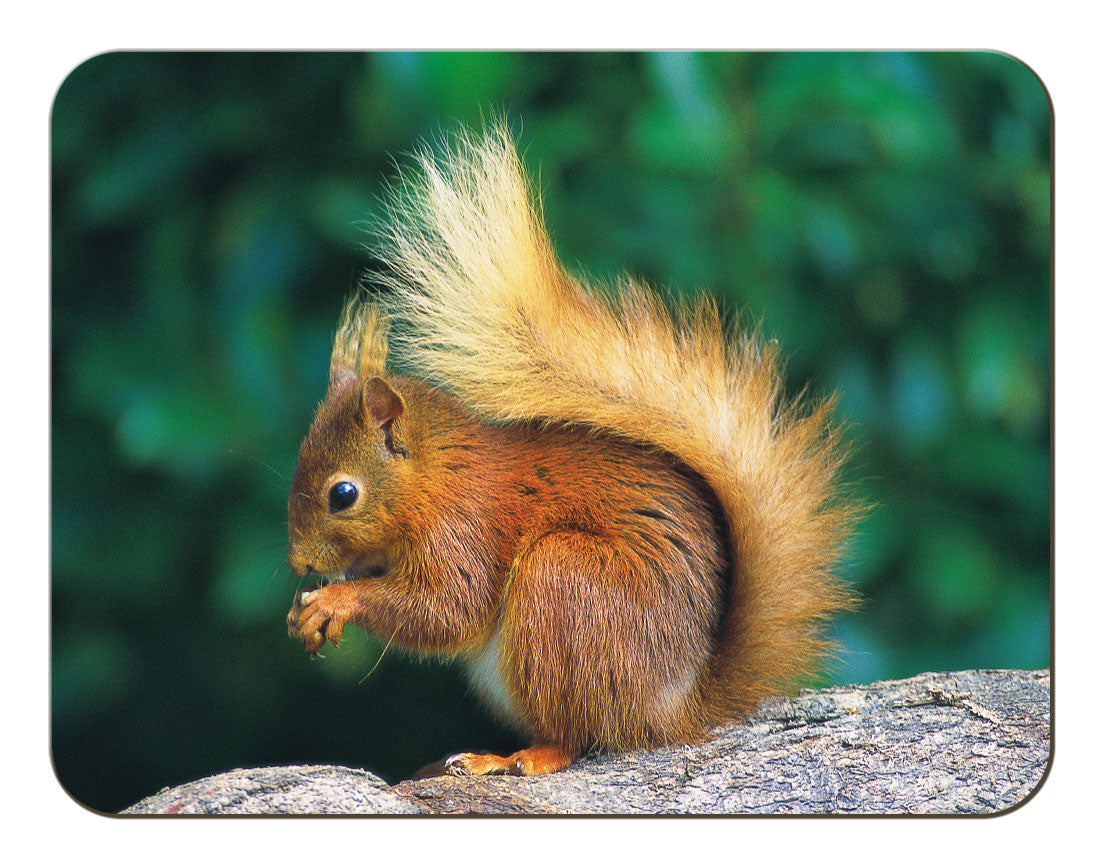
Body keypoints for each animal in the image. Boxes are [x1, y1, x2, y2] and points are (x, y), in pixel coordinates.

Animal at [285, 124, 857, 777]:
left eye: (343, 494)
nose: (299, 564)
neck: (434, 478)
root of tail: (672, 711)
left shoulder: (465, 528)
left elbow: (448, 609)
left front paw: (337, 599)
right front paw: (307, 610)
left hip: (562, 586)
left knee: (577, 736)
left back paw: (511, 759)